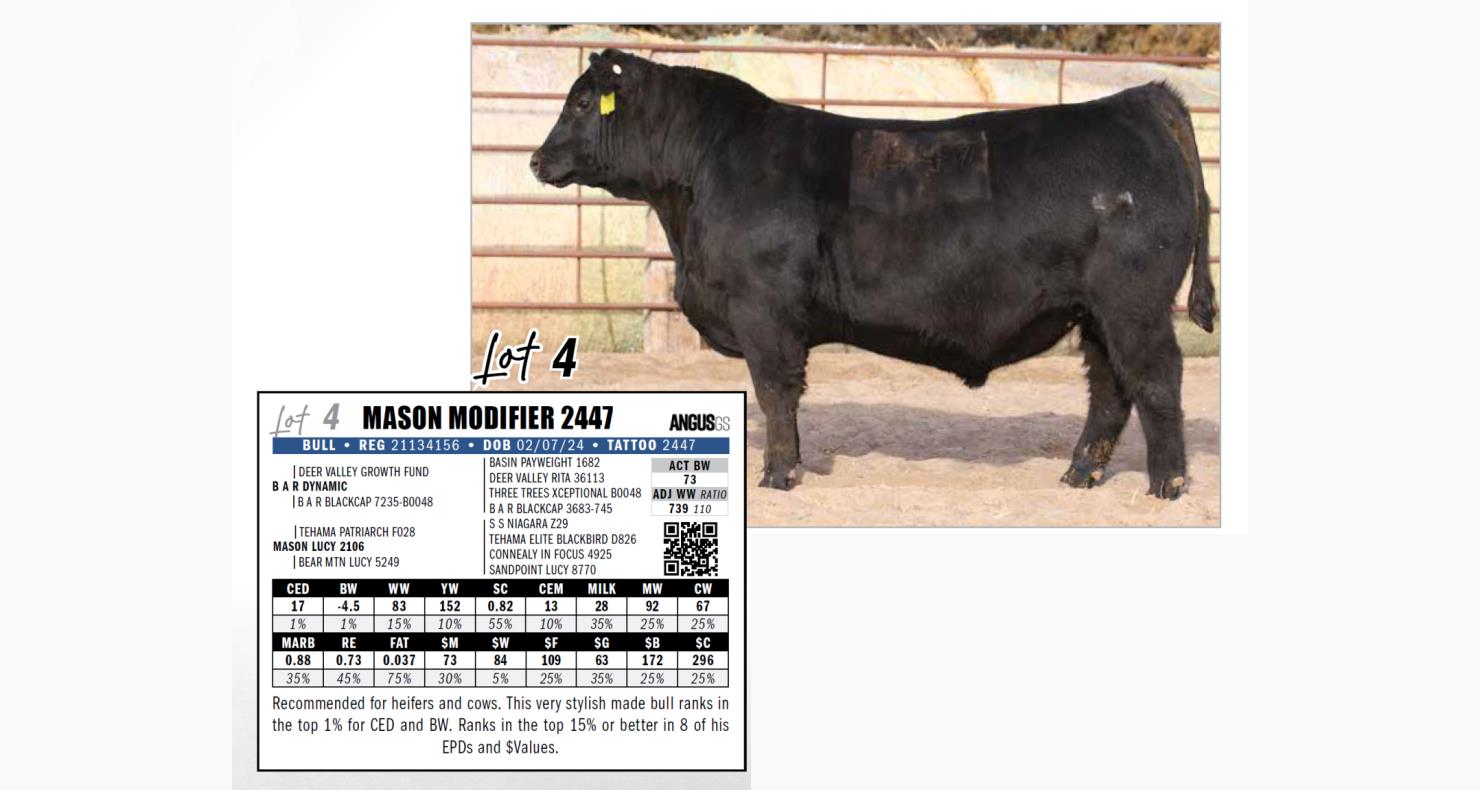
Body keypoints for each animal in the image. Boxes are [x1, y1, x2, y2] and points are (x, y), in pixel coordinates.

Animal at [531, 49, 1217, 499]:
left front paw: (778, 476)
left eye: (584, 101)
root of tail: (1139, 101)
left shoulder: (764, 310)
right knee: (1110, 388)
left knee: (1157, 378)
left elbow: (776, 391)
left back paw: (1167, 483)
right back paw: (1080, 474)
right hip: (1095, 311)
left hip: (1133, 302)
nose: (537, 159)